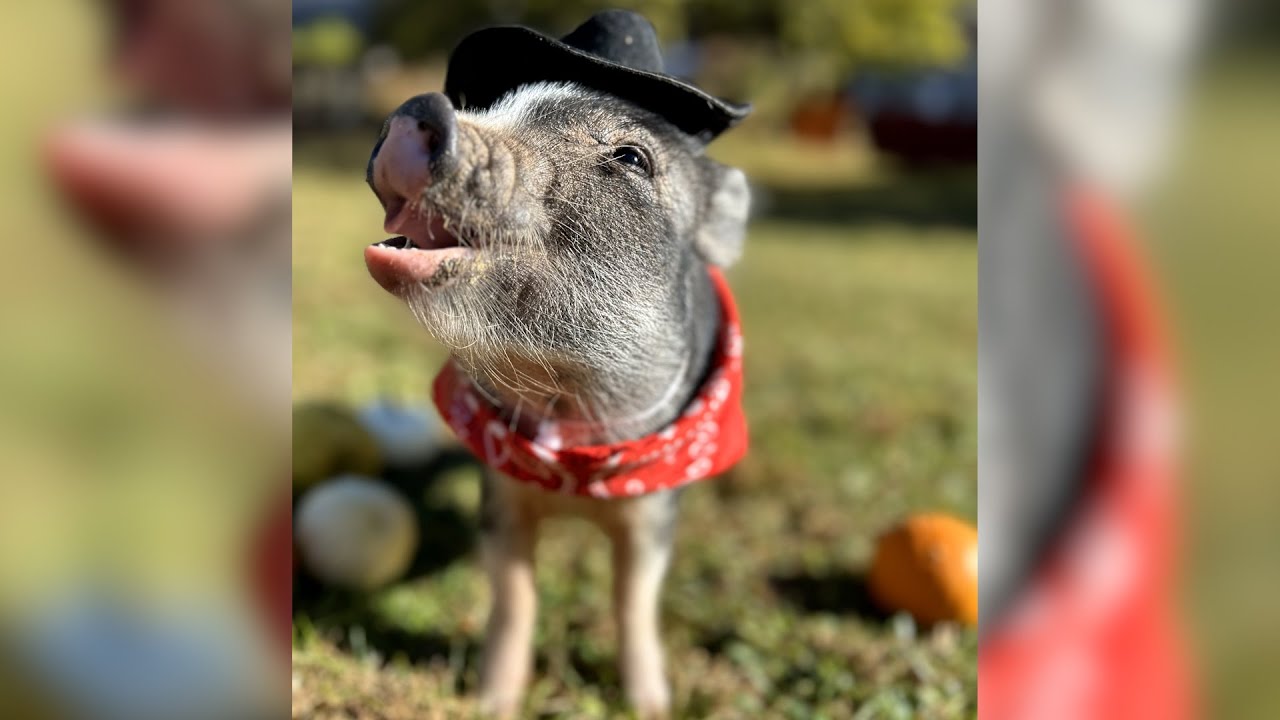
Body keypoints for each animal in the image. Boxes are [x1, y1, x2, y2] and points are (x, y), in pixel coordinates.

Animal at [365, 81, 750, 718]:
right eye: (500, 105)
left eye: (632, 157)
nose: (420, 106)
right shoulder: (498, 492)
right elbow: (514, 594)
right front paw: (492, 704)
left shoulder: (654, 507)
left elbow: (634, 598)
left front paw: (651, 707)